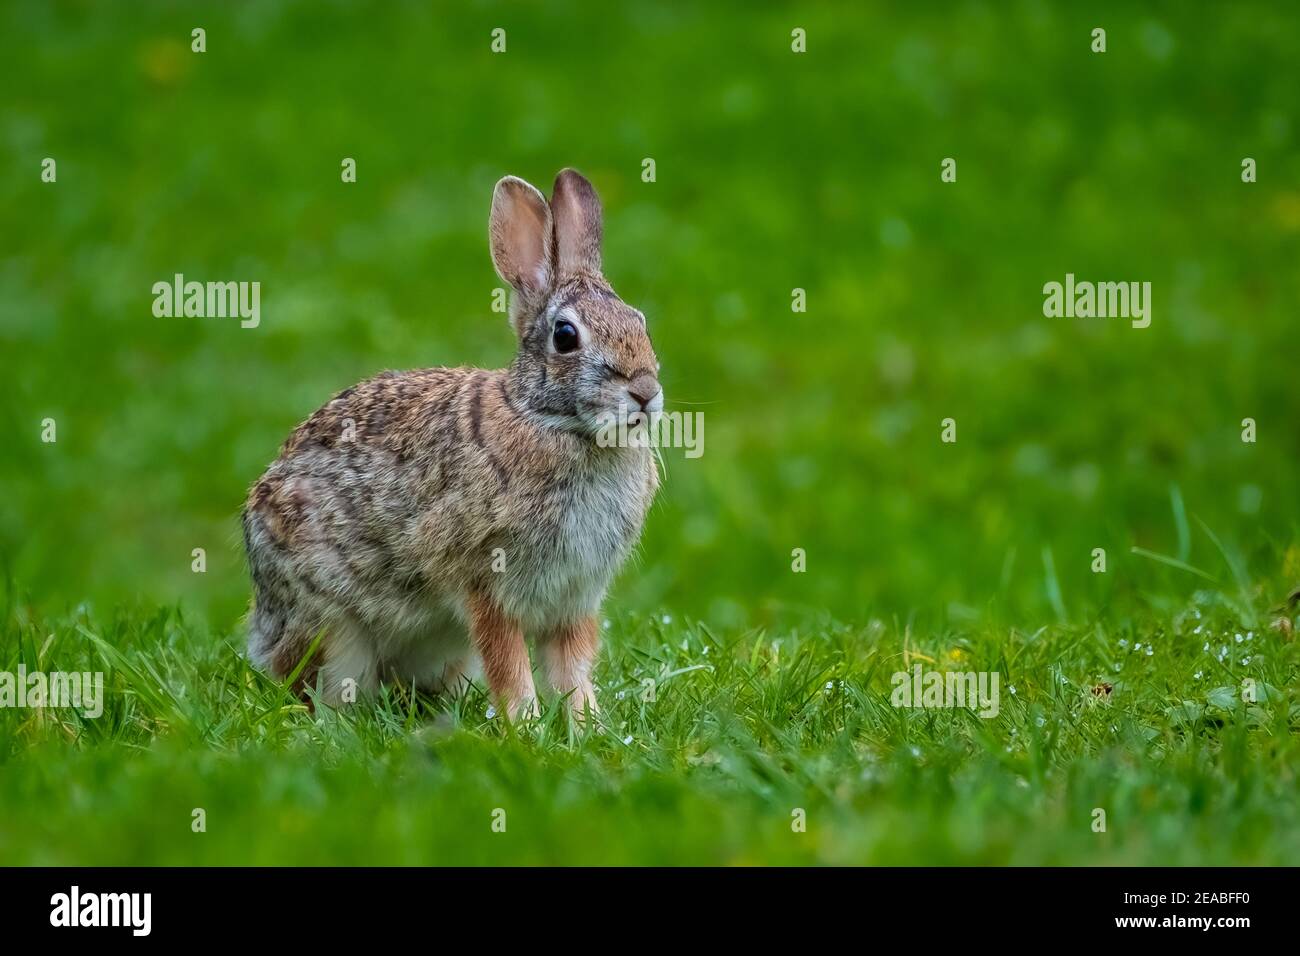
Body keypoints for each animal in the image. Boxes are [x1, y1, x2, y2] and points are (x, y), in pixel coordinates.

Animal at [241, 169, 661, 719]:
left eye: (641, 321)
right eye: (566, 336)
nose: (647, 391)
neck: (551, 422)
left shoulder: (574, 601)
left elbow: (573, 671)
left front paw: (587, 725)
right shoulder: (487, 585)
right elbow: (511, 665)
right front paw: (526, 725)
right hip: (332, 630)